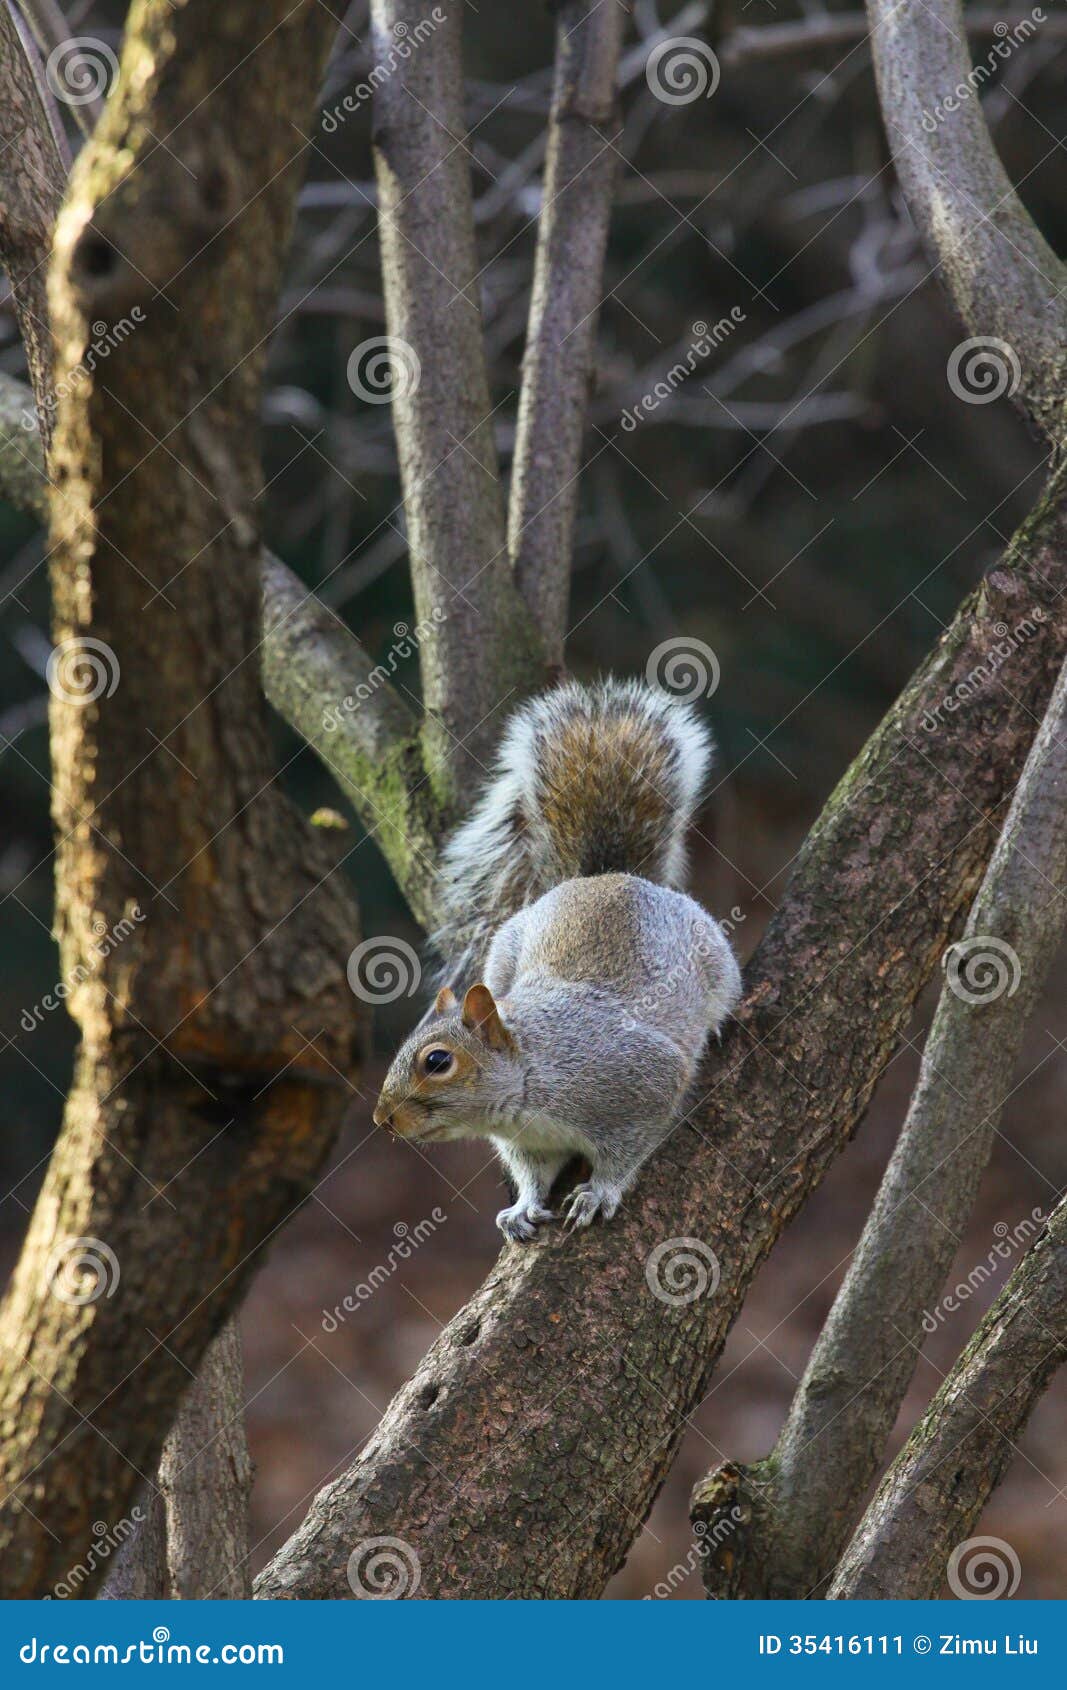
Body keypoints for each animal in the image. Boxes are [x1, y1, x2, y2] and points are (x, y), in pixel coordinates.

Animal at [372, 679, 742, 1241]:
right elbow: (530, 1174)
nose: (382, 1119)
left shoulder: (641, 1080)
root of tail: (605, 876)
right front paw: (523, 1207)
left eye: (437, 1061)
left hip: (715, 957)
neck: (531, 1075)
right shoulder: (527, 1142)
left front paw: (600, 1192)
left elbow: (629, 1150)